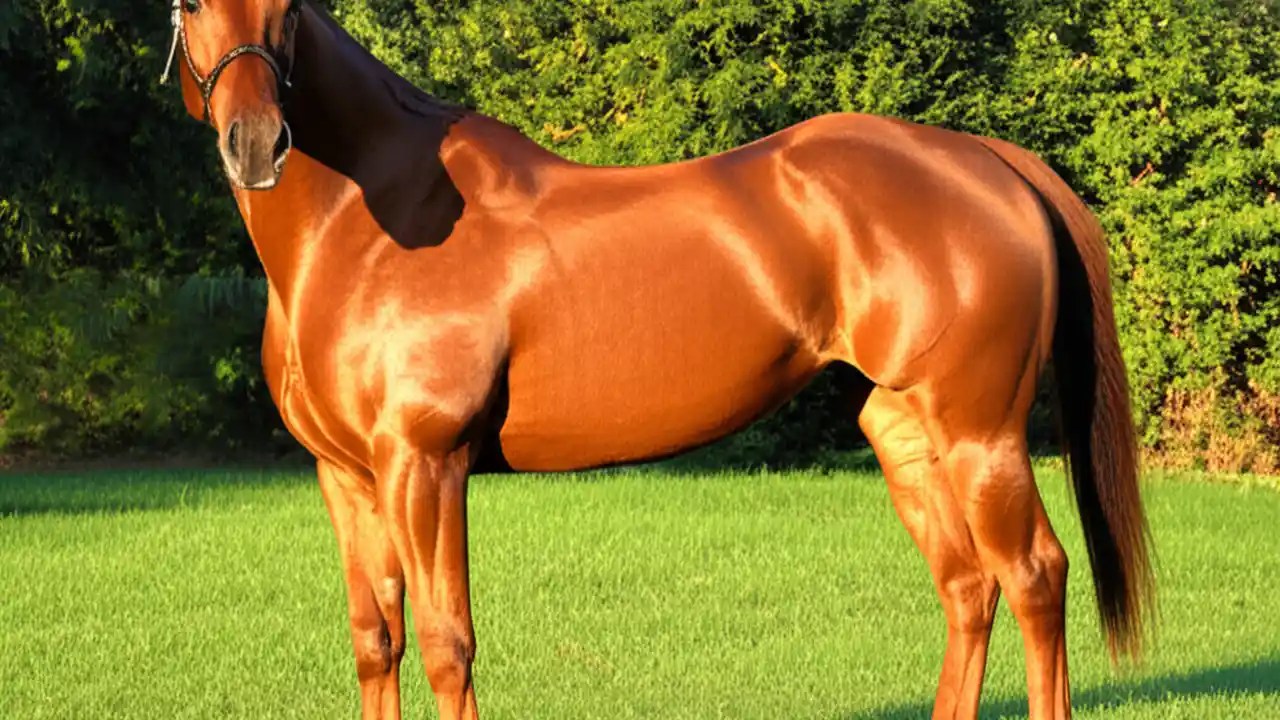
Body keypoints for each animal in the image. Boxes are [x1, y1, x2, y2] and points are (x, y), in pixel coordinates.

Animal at [161, 0, 1153, 717]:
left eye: (287, 5)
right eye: (193, 1)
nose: (255, 143)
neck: (375, 224)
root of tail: (989, 160)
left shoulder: (425, 466)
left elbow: (448, 645)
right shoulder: (346, 476)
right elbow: (379, 642)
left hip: (983, 435)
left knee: (1034, 579)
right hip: (905, 431)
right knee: (967, 588)